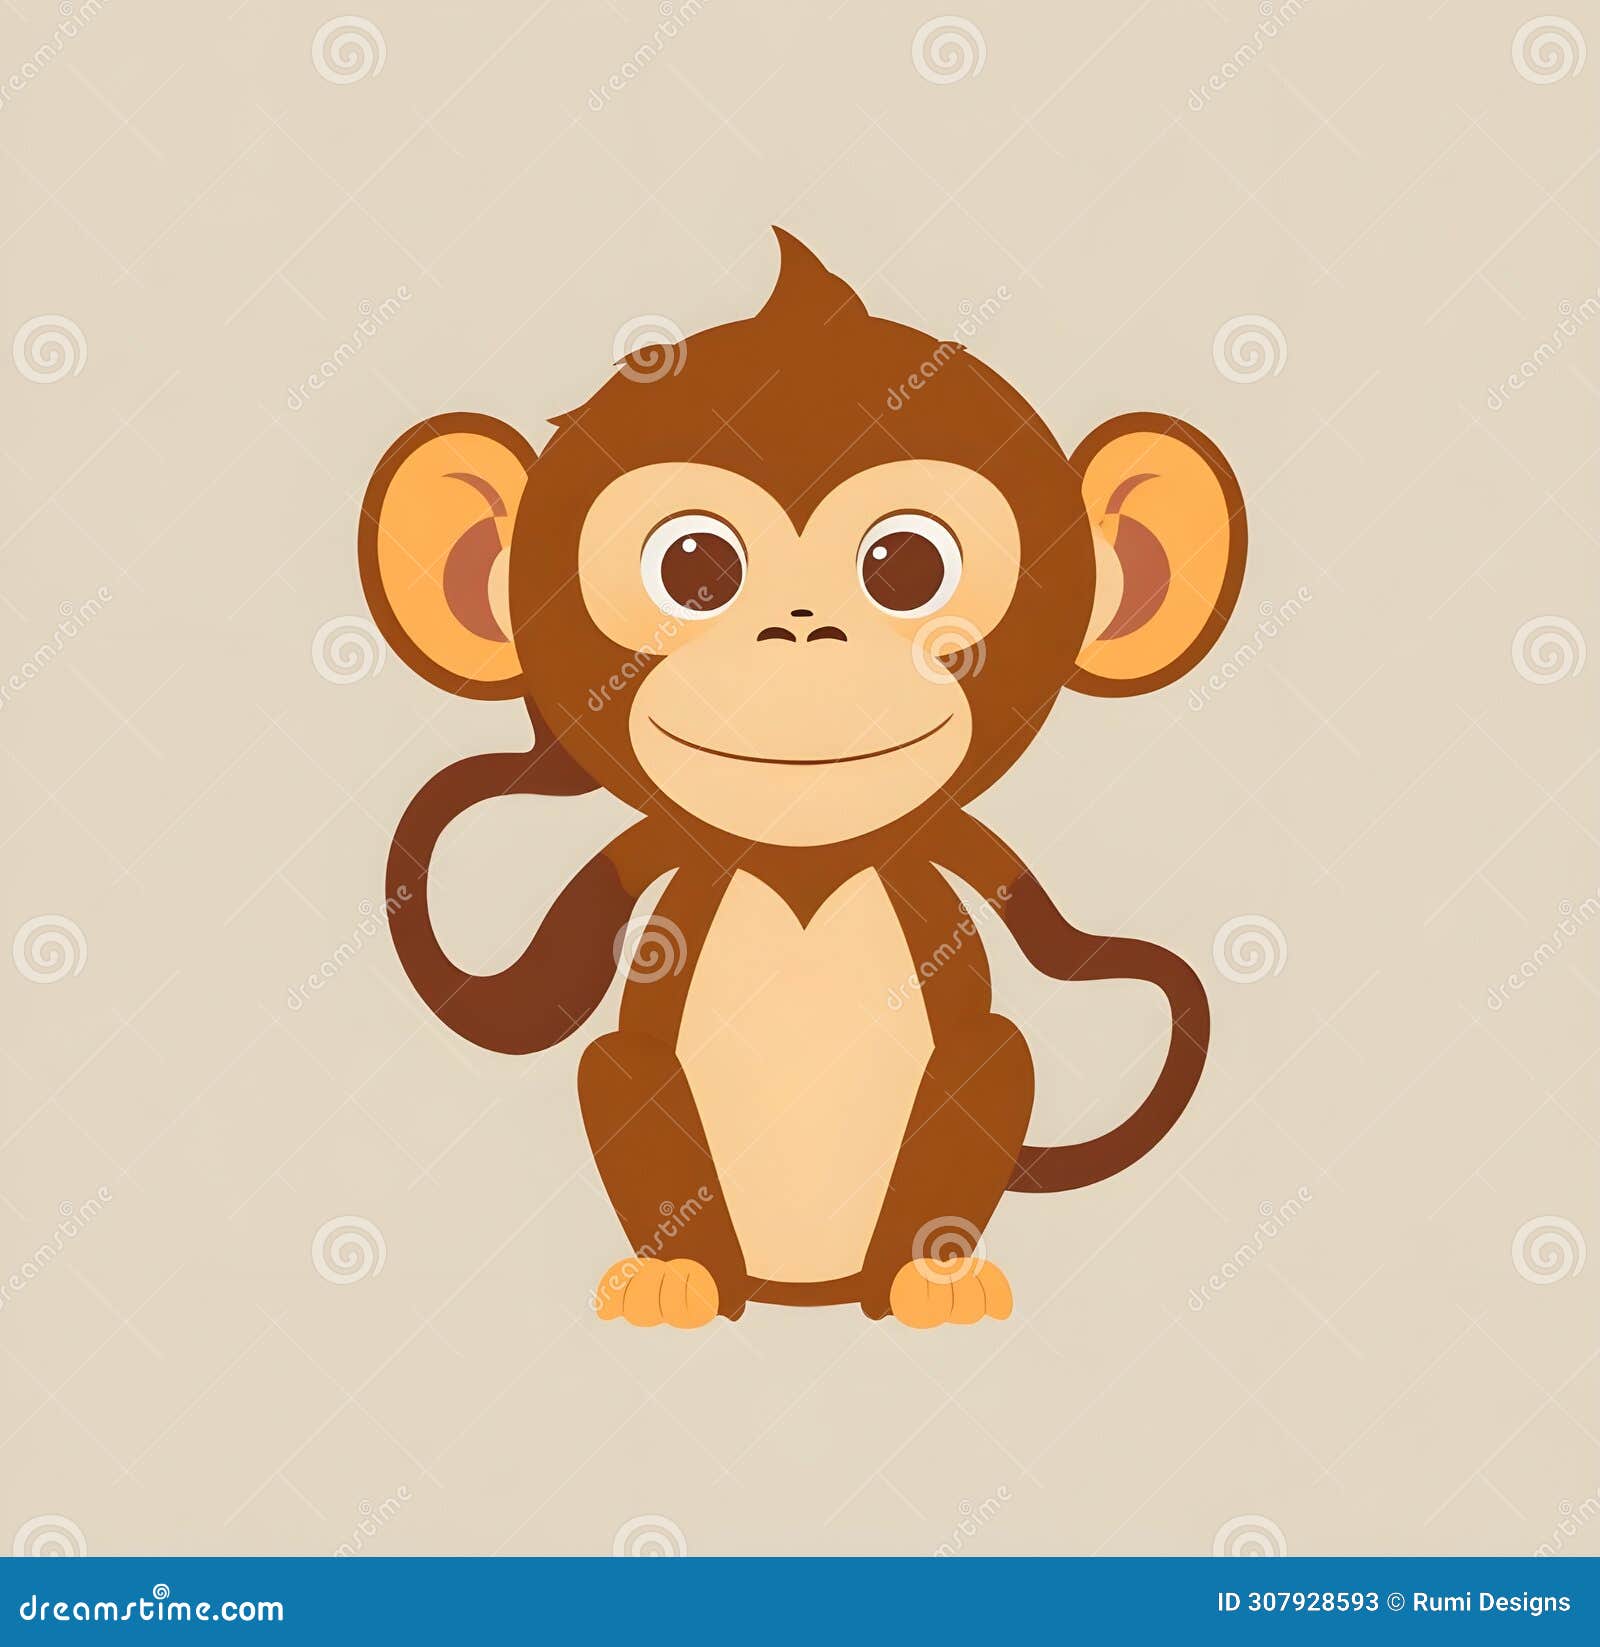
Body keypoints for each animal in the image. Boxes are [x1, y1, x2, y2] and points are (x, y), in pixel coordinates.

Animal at [357, 229, 1246, 1330]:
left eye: (905, 564)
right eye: (694, 565)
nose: (800, 630)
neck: (802, 857)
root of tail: (805, 1289)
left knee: (993, 1056)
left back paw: (929, 1276)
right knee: (615, 1067)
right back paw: (680, 1278)